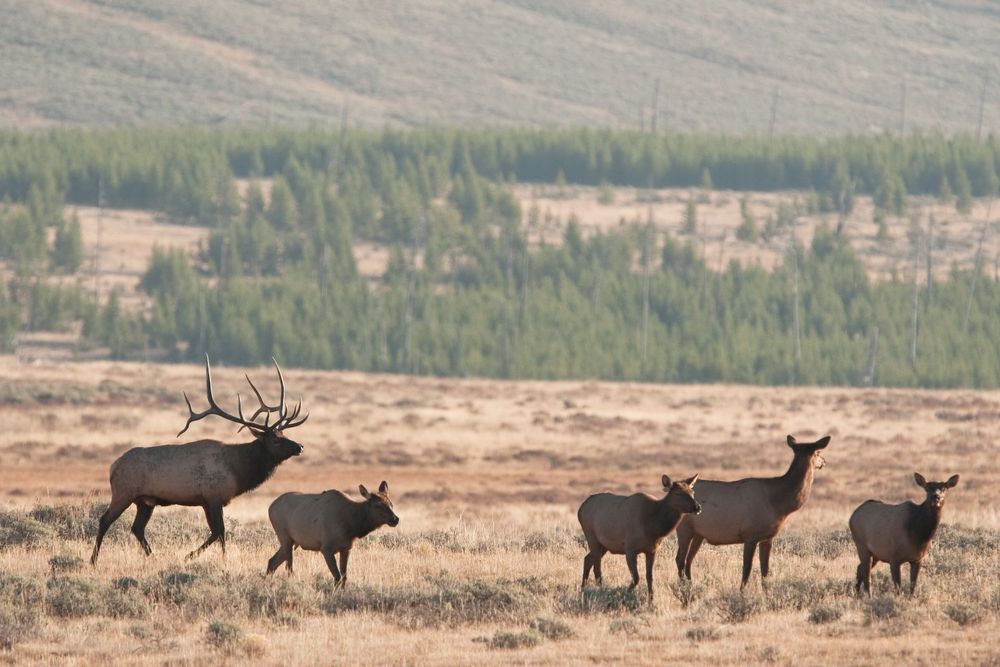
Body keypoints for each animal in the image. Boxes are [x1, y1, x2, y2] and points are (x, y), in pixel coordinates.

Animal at [90, 355, 308, 565]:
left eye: (283, 434)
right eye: (275, 440)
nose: (299, 446)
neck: (238, 471)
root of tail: (113, 467)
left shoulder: (205, 502)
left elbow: (215, 532)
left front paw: (191, 556)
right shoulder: (214, 496)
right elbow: (220, 531)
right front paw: (213, 558)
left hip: (145, 502)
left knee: (137, 528)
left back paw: (152, 556)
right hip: (123, 492)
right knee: (104, 520)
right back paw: (94, 559)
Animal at [265, 481, 399, 585]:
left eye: (391, 504)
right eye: (378, 505)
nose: (395, 519)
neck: (352, 525)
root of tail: (270, 507)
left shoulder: (346, 548)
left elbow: (344, 577)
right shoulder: (326, 548)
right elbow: (337, 577)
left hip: (292, 542)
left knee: (272, 562)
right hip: (285, 537)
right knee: (288, 568)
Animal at [674, 435, 830, 589]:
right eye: (818, 452)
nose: (824, 461)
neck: (779, 504)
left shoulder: (767, 537)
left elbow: (765, 570)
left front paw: (766, 591)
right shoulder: (750, 535)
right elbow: (747, 569)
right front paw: (742, 592)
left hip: (698, 534)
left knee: (689, 560)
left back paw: (690, 585)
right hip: (684, 528)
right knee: (680, 559)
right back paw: (684, 588)